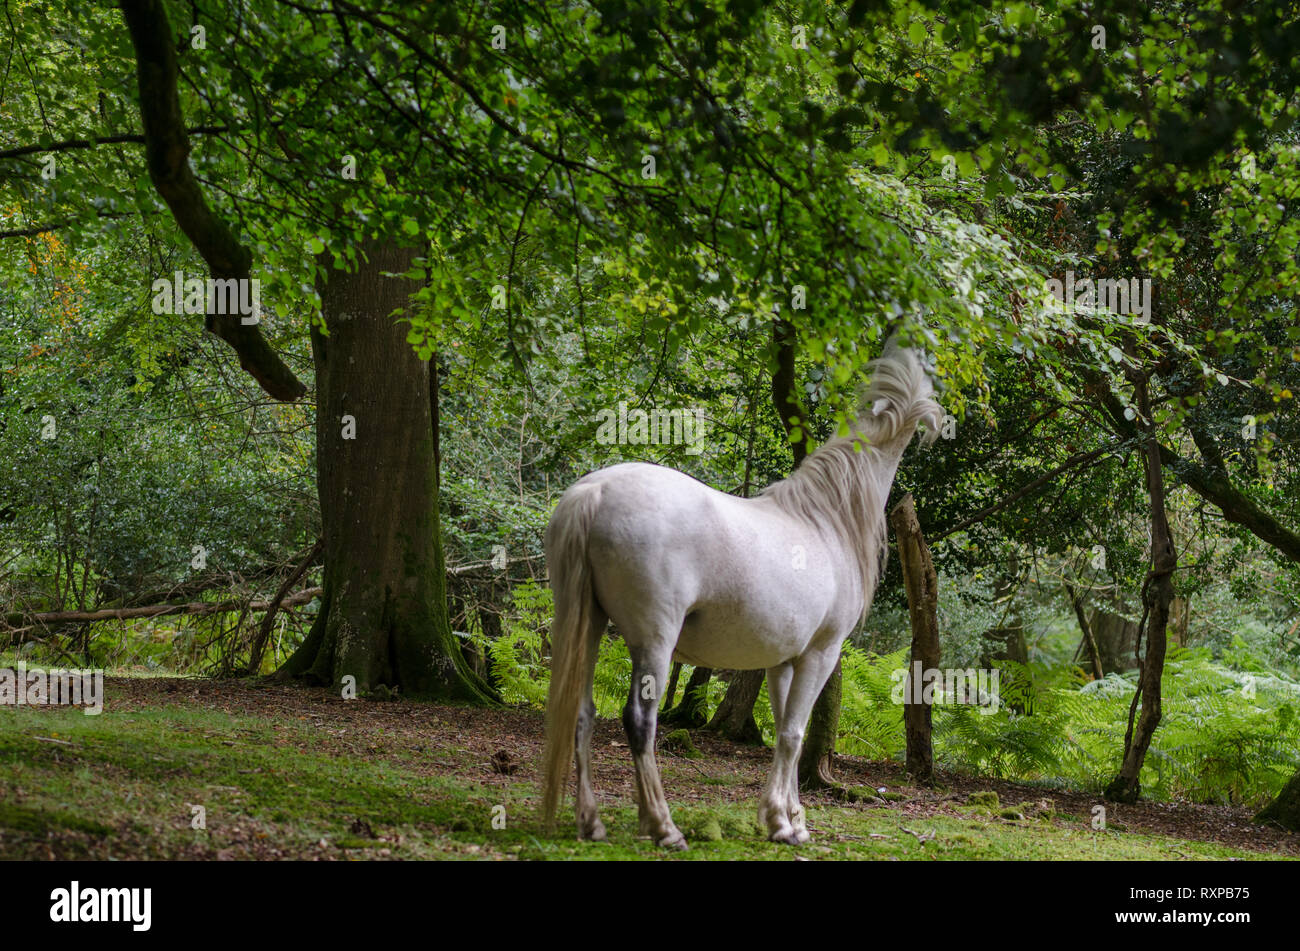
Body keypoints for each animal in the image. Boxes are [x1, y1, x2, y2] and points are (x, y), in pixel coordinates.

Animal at [540, 336, 942, 847]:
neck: (826, 520)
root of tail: (596, 492)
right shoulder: (821, 653)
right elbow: (793, 735)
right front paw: (785, 824)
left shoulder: (783, 662)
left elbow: (787, 731)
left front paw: (788, 819)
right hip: (654, 641)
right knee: (640, 722)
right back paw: (664, 826)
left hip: (588, 626)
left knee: (581, 713)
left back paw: (591, 823)